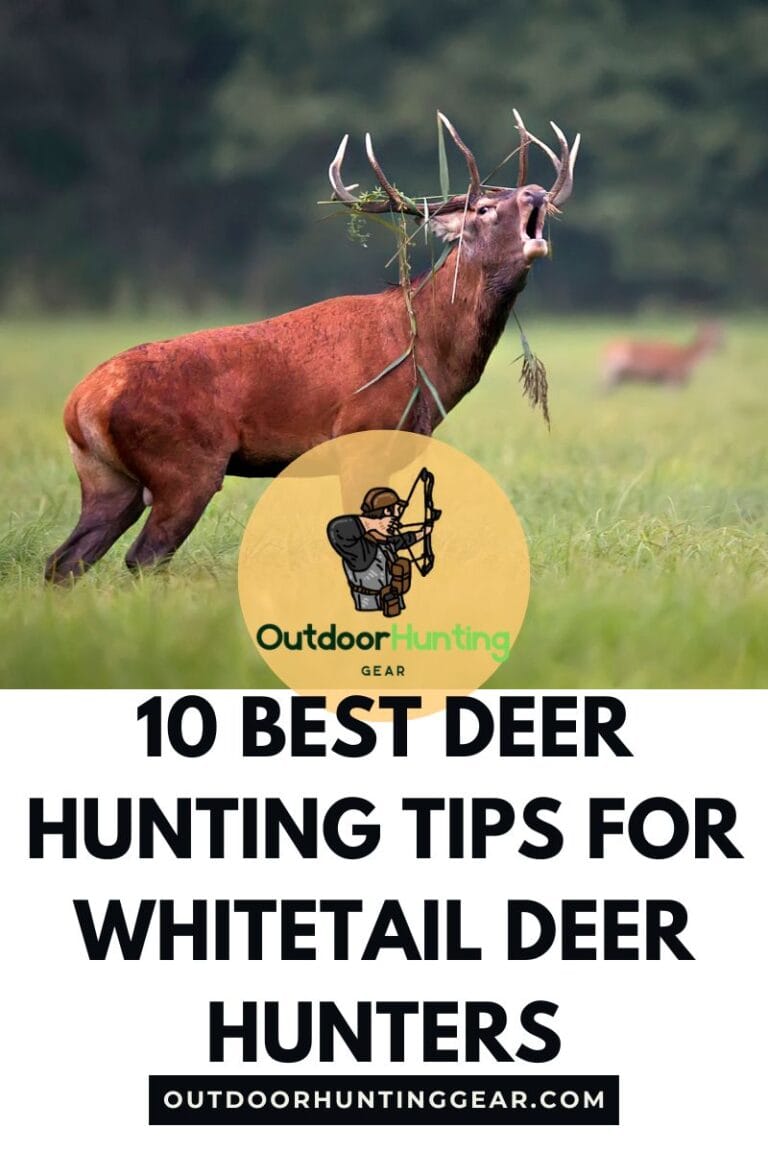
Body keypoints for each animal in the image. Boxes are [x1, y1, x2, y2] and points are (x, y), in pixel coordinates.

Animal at [44, 111, 580, 583]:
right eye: (485, 209)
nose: (535, 192)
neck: (427, 360)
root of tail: (81, 403)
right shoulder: (359, 434)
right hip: (185, 466)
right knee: (143, 557)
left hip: (105, 476)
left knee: (64, 561)